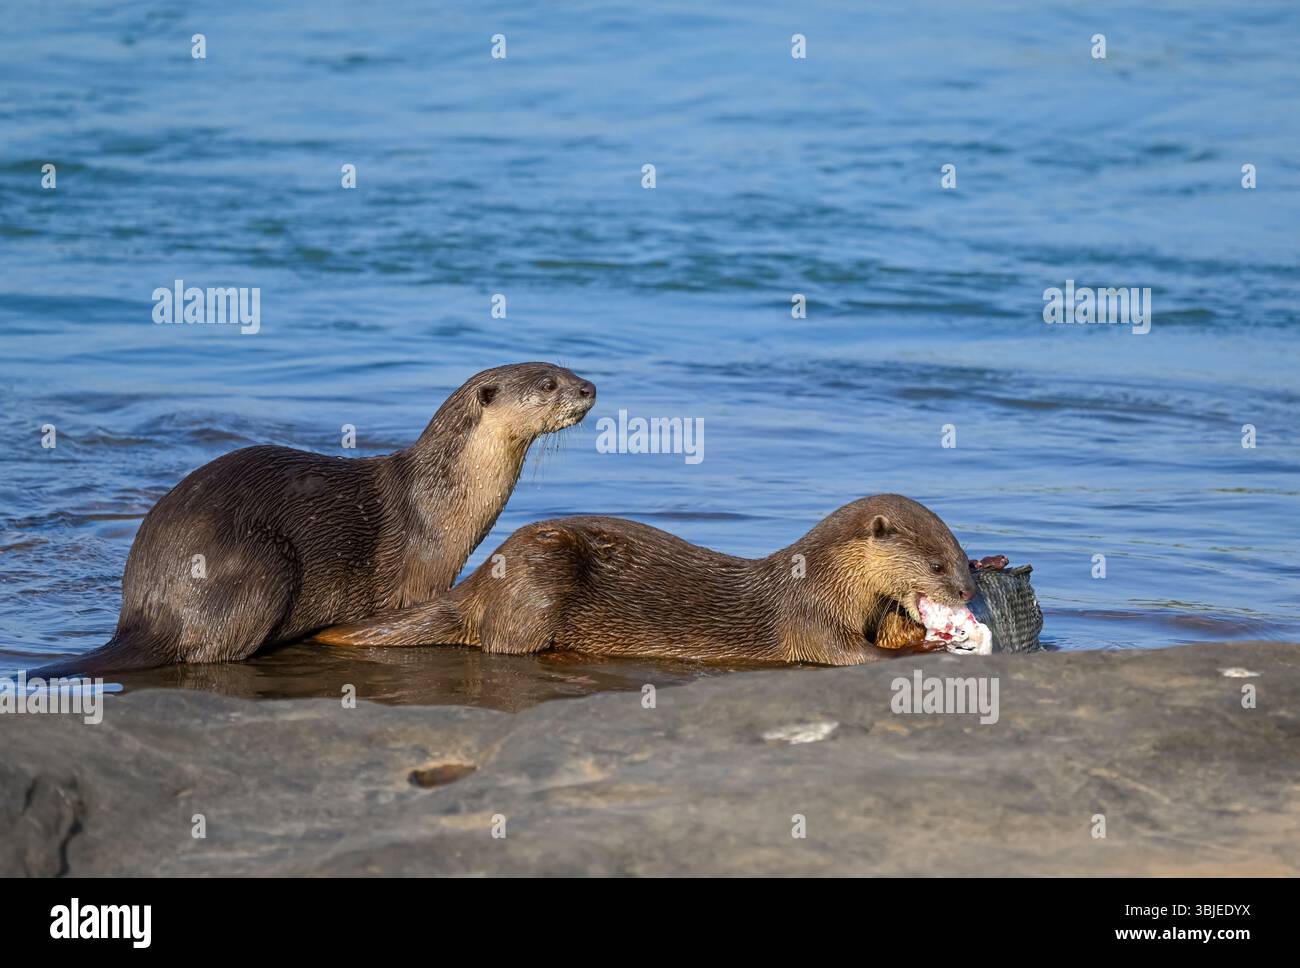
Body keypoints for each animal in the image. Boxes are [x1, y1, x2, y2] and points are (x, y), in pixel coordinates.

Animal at [33, 363, 596, 677]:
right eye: (549, 382)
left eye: (568, 370)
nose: (589, 387)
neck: (437, 498)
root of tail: (145, 608)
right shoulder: (421, 573)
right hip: (261, 563)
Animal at [312, 494, 976, 665]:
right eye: (939, 564)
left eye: (963, 555)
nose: (968, 591)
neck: (825, 580)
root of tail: (472, 588)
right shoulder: (809, 618)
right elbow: (851, 656)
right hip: (540, 572)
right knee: (505, 643)